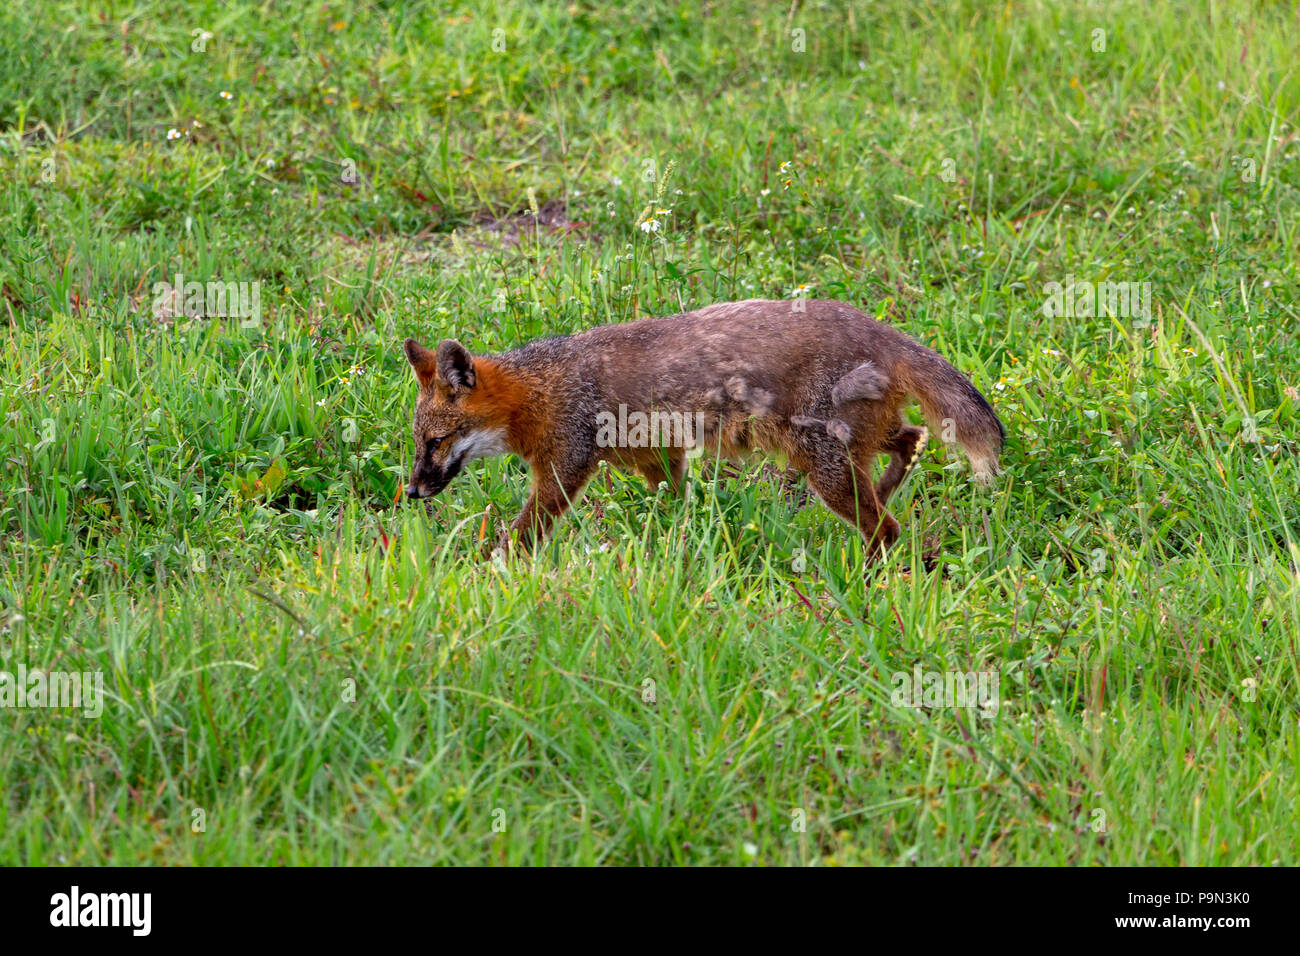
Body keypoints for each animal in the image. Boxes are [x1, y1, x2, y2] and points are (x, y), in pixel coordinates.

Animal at [402, 299, 1004, 561]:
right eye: (417, 444)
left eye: (436, 442)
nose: (410, 491)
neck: (541, 388)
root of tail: (876, 325)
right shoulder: (659, 456)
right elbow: (673, 504)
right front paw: (676, 541)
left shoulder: (564, 469)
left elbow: (521, 531)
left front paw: (490, 569)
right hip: (852, 445)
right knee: (911, 440)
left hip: (823, 465)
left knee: (889, 529)